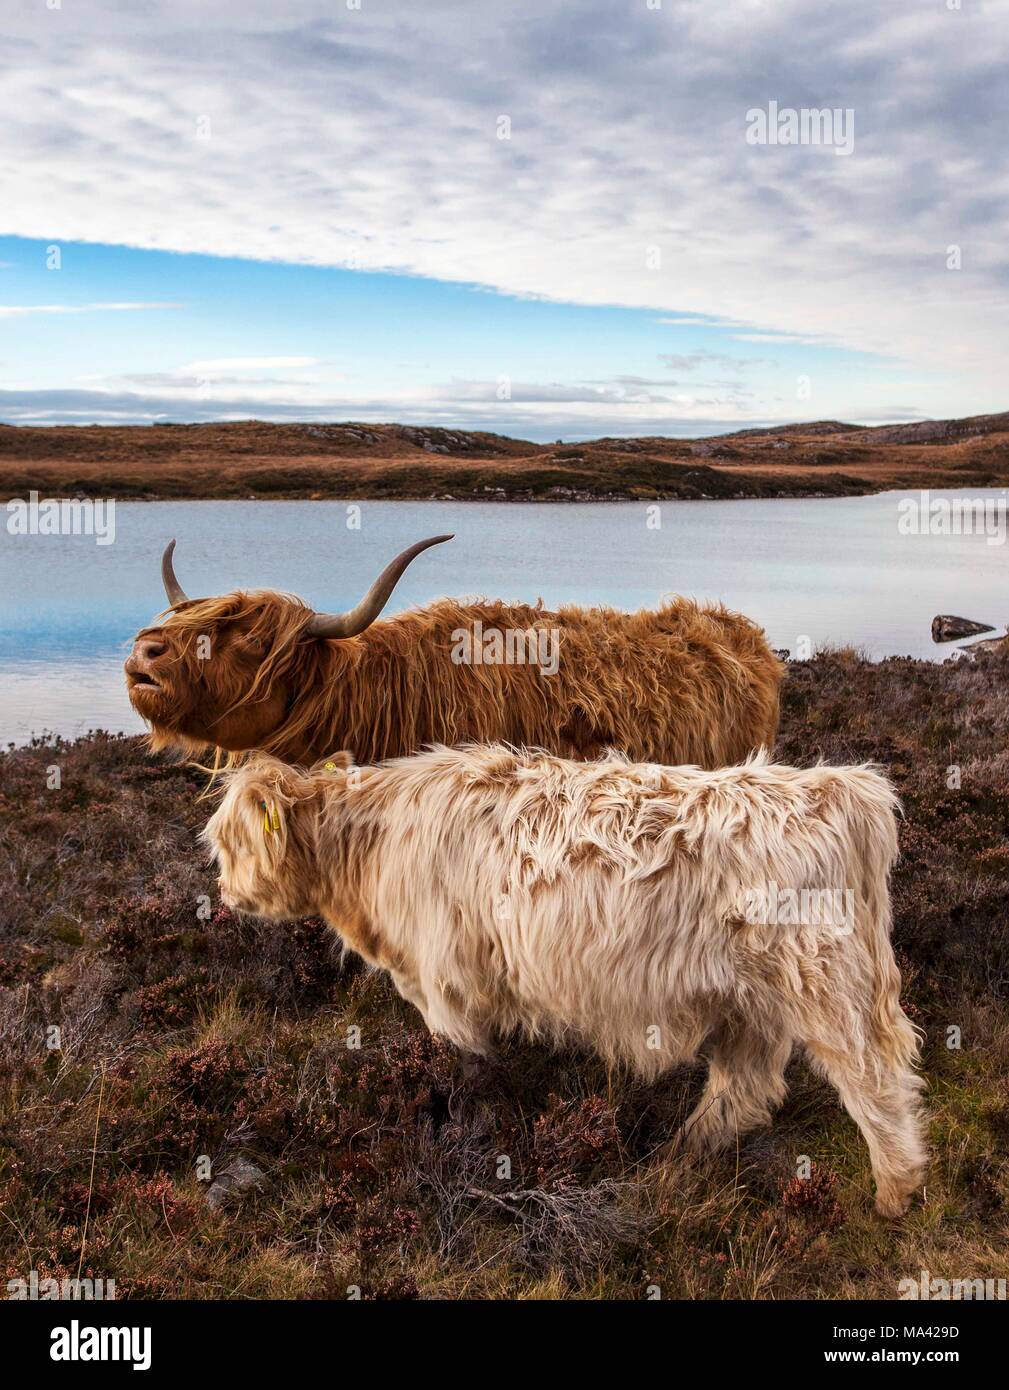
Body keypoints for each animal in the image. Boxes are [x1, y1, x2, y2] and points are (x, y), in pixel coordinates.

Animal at [204, 743, 927, 1218]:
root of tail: (838, 788)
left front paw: (478, 1154)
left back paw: (895, 1192)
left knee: (870, 1074)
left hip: (821, 980)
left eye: (232, 841)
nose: (225, 893)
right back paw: (674, 1164)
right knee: (745, 1083)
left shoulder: (446, 986)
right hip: (750, 999)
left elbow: (472, 1077)